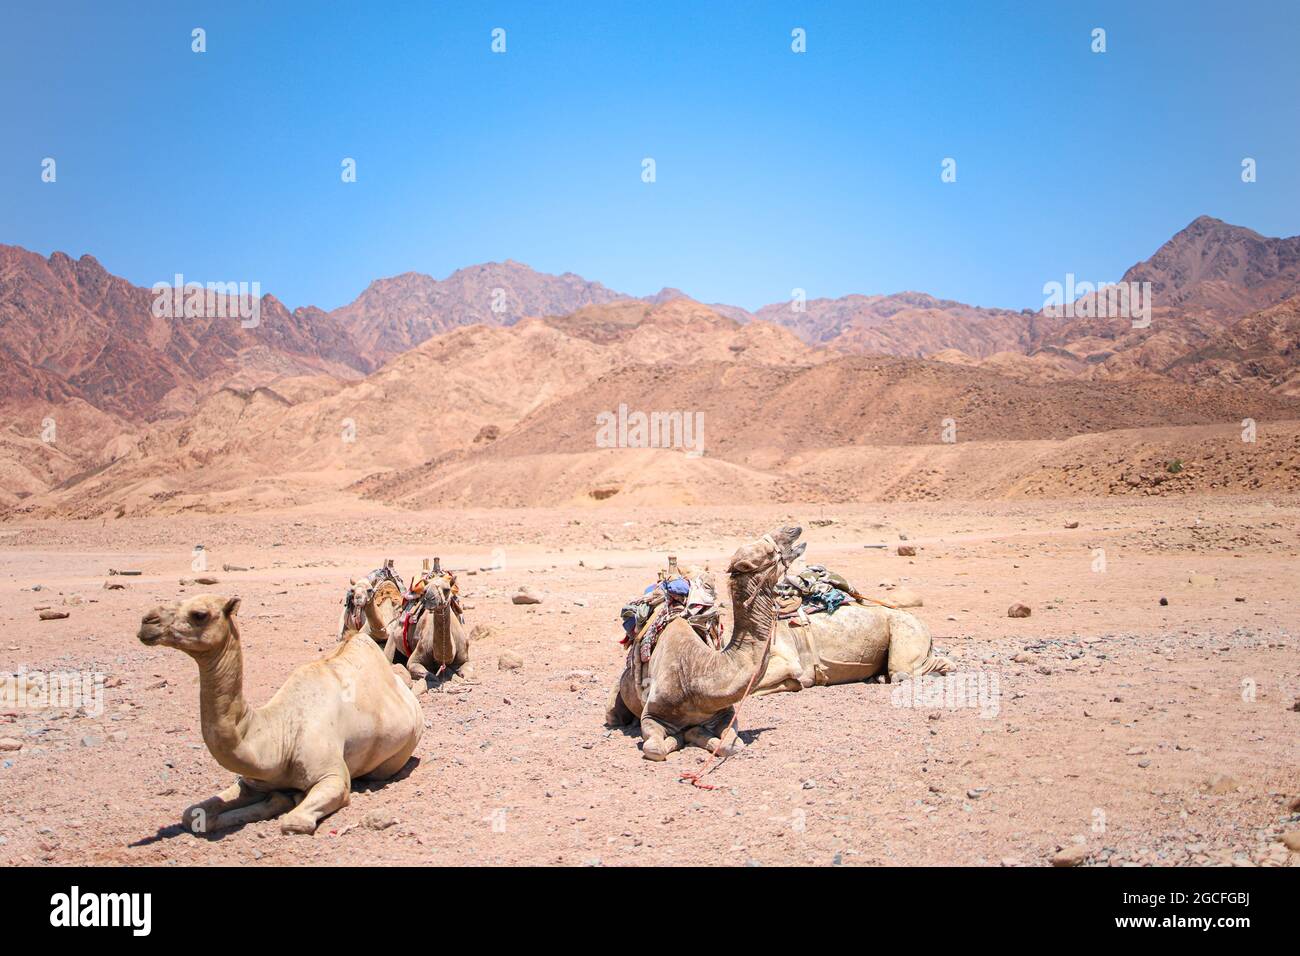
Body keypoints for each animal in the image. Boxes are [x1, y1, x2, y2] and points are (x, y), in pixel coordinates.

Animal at [138, 594, 423, 835]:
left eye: (199, 614)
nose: (146, 622)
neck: (279, 737)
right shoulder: (253, 781)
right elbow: (192, 815)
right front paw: (275, 799)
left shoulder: (333, 777)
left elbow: (294, 821)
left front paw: (289, 801)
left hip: (394, 758)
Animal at [604, 525, 806, 761]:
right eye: (765, 551)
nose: (793, 529)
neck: (694, 675)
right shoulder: (651, 714)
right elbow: (654, 748)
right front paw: (679, 736)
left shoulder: (725, 713)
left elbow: (732, 745)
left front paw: (694, 733)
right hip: (615, 704)